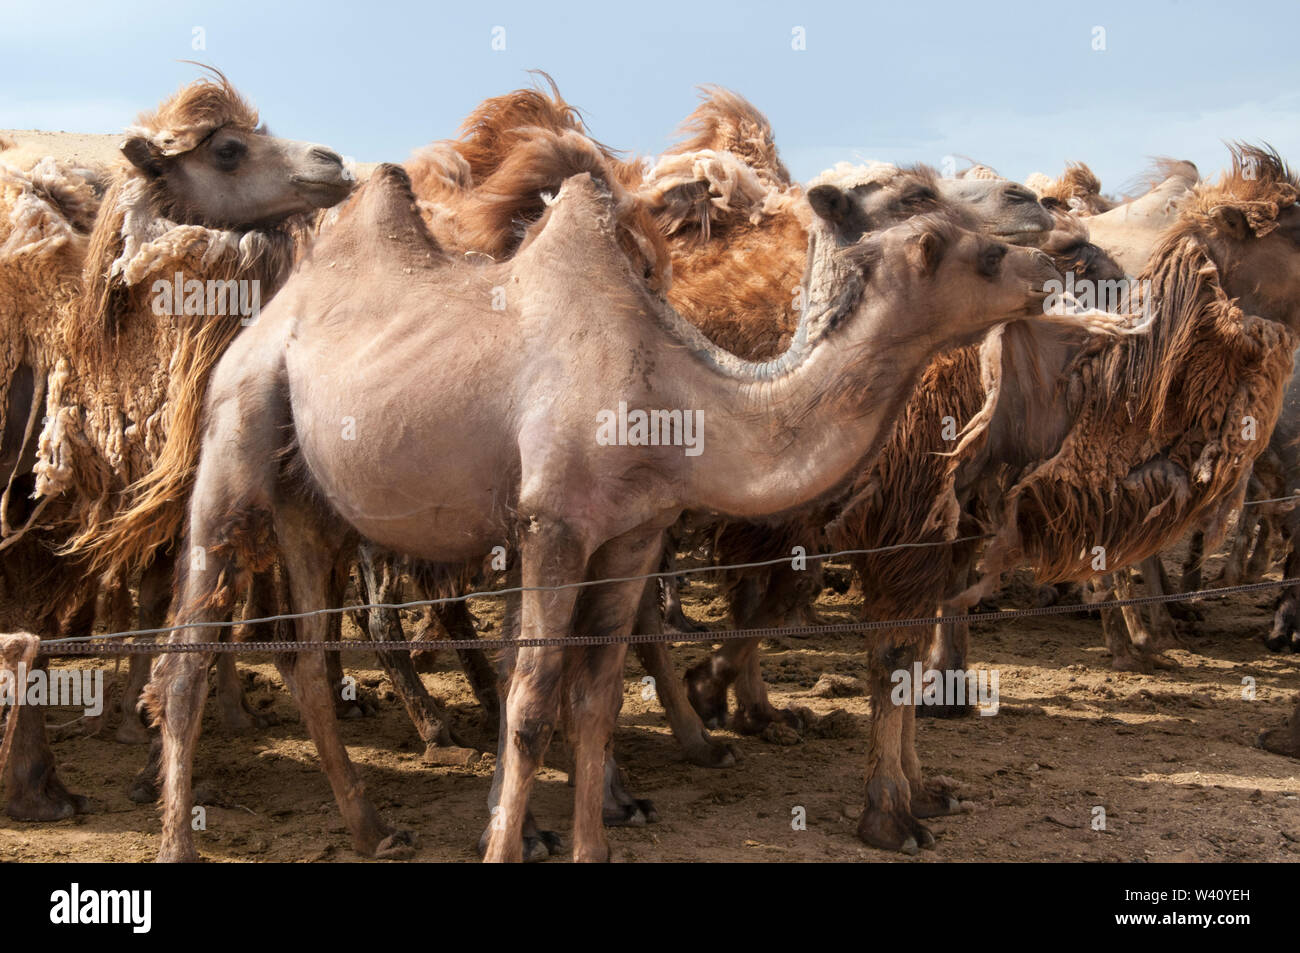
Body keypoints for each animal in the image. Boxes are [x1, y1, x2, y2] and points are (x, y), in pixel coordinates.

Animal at [0, 70, 353, 822]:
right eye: (226, 149)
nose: (333, 162)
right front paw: (41, 788)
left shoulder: (42, 523)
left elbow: (36, 631)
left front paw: (49, 785)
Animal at [142, 158, 1071, 862]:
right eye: (937, 233)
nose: (1048, 259)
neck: (680, 395)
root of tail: (273, 312)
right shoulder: (553, 523)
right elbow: (530, 701)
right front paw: (509, 844)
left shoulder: (635, 533)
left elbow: (596, 701)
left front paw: (593, 842)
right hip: (239, 423)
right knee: (188, 644)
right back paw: (178, 842)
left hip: (314, 498)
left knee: (306, 652)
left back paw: (373, 828)